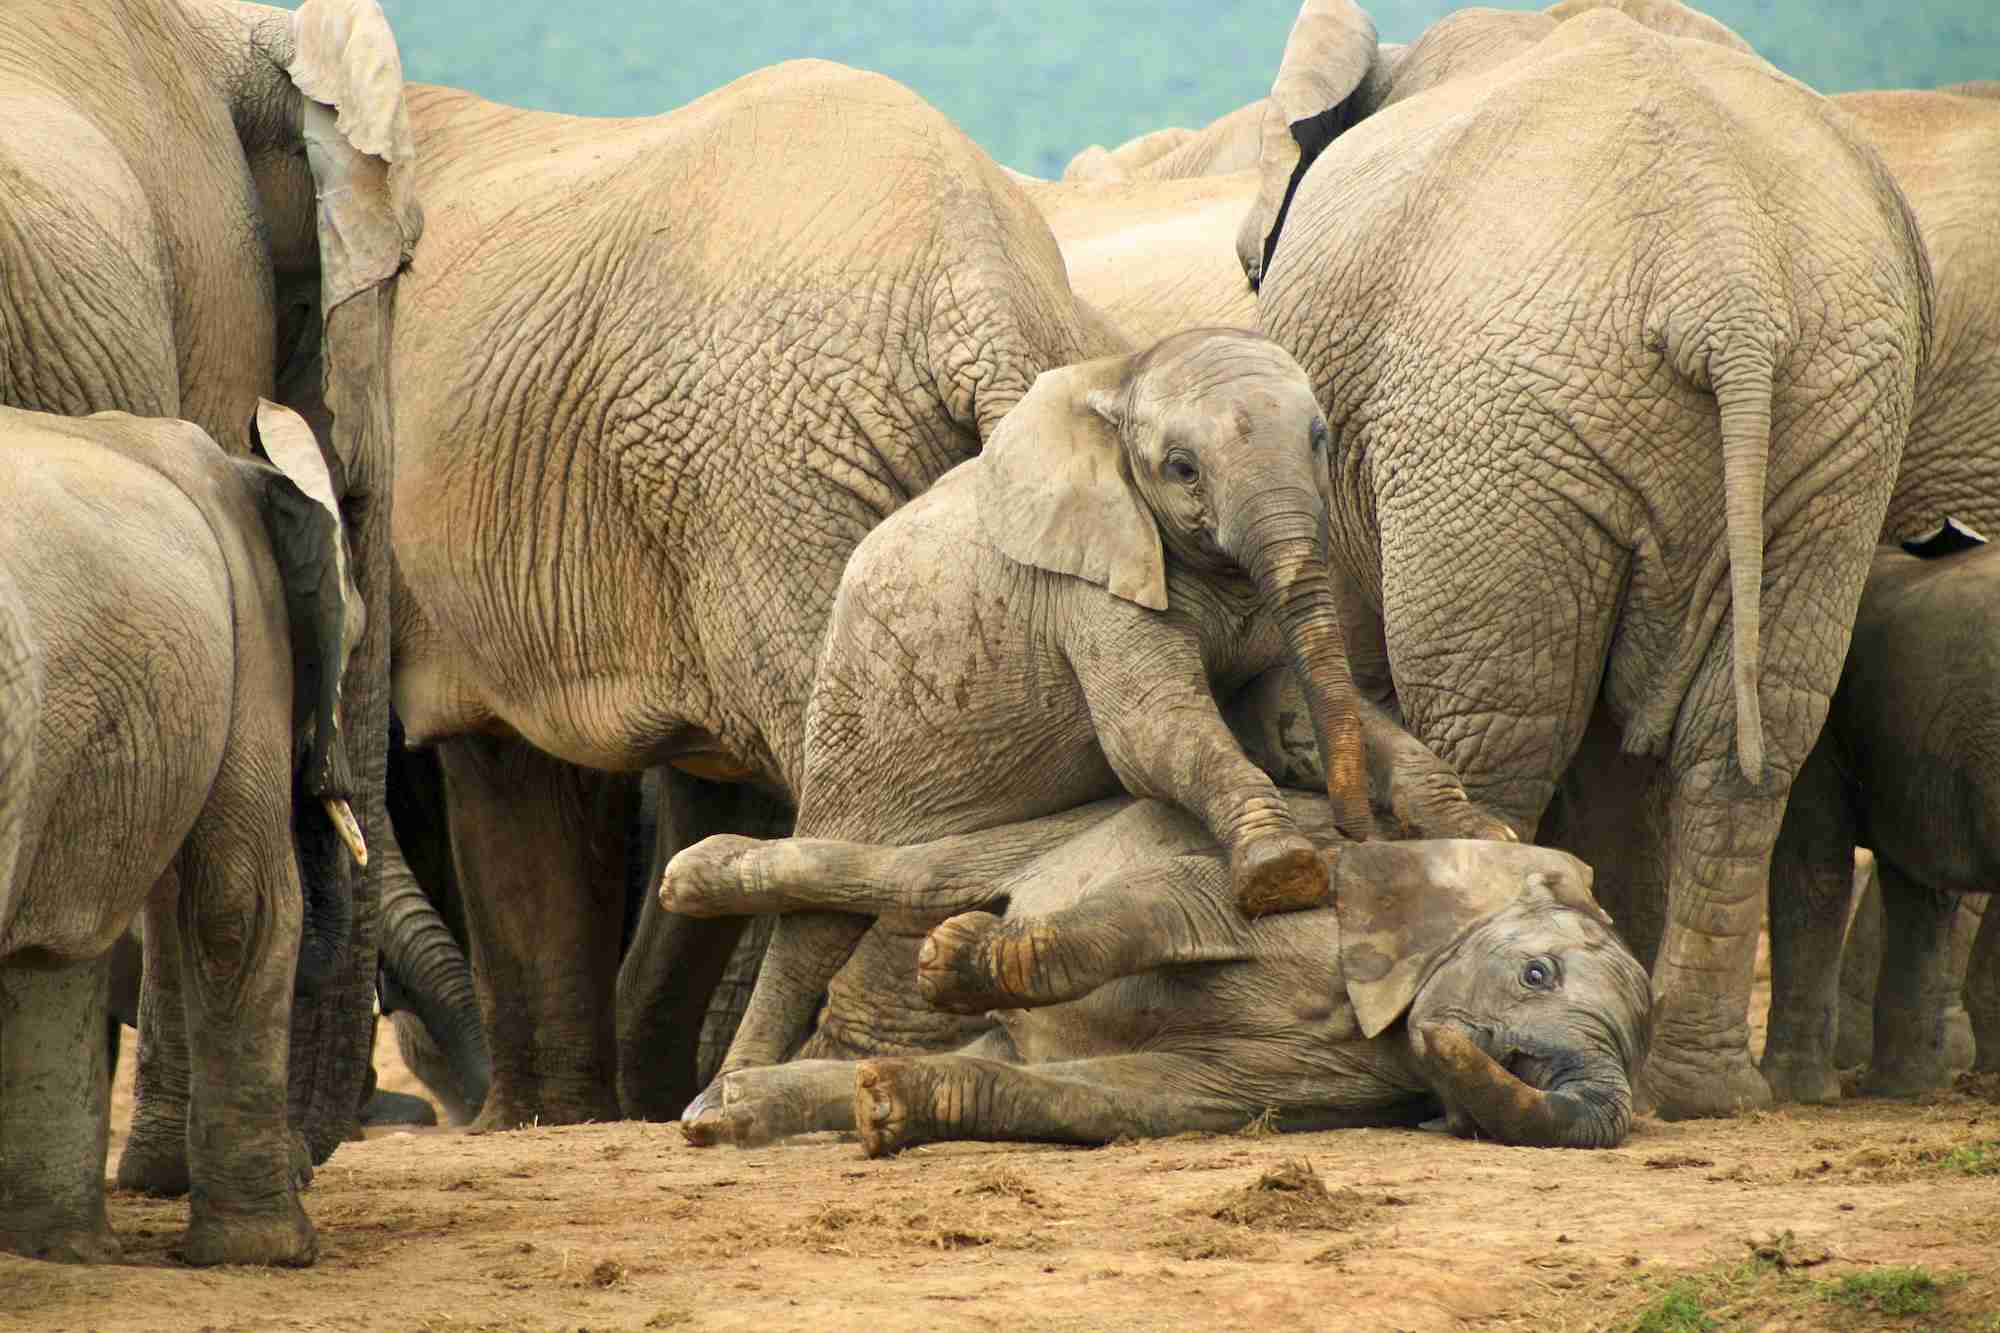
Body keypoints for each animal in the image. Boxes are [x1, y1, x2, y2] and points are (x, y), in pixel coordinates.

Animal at [0, 401, 358, 1265]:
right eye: (358, 635)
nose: (304, 1164)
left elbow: (59, 946)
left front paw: (63, 1253)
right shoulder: (253, 623)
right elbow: (243, 903)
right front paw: (274, 1254)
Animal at [662, 790, 1649, 1153]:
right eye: (1536, 974)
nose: (1458, 1040)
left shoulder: (1334, 1077)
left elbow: (1143, 1098)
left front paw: (888, 1107)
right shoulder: (1313, 879)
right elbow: (1167, 903)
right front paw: (952, 958)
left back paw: (724, 1111)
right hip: (1074, 823)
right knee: (918, 872)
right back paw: (694, 873)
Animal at [1243, 0, 1934, 1120]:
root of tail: (1729, 283)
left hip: (1491, 423)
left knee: (1495, 733)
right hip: (1831, 422)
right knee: (1745, 740)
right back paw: (1697, 1091)